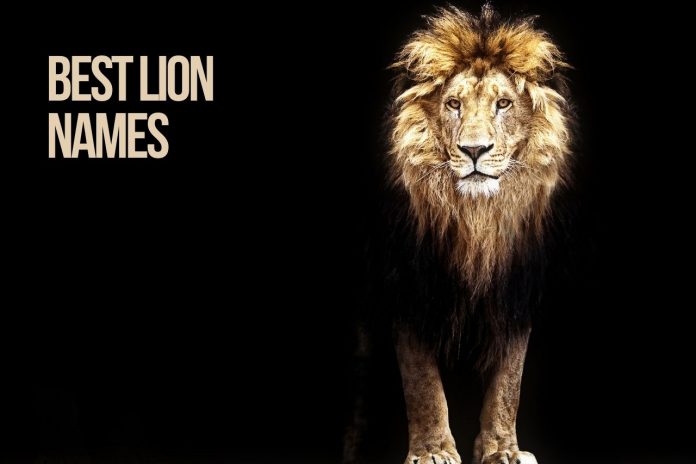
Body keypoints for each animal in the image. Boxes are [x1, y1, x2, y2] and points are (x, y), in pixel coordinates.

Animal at [356, 5, 574, 464]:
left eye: (503, 103)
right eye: (454, 104)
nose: (475, 150)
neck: (476, 220)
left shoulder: (515, 291)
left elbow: (509, 381)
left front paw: (503, 449)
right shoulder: (408, 286)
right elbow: (422, 381)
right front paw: (433, 451)